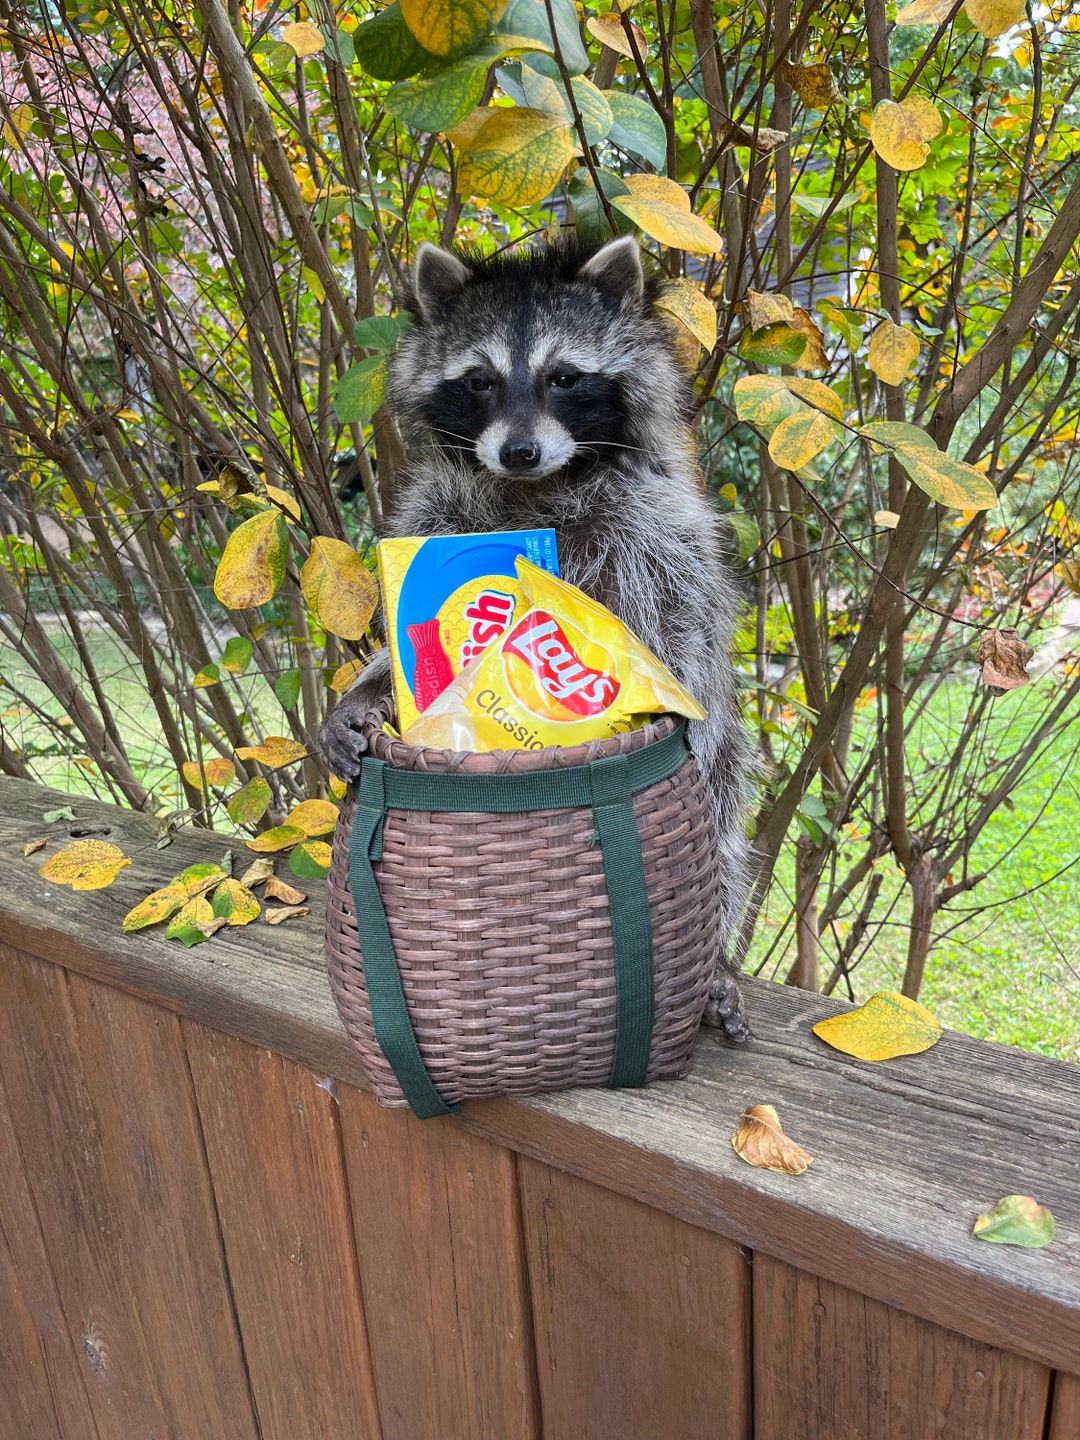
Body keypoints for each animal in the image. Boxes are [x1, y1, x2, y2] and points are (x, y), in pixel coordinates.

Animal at [319, 235, 753, 1041]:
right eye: (480, 380)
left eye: (564, 377)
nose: (519, 450)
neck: (532, 492)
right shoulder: (435, 513)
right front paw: (367, 689)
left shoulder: (659, 530)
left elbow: (681, 634)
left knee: (721, 807)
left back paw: (716, 965)